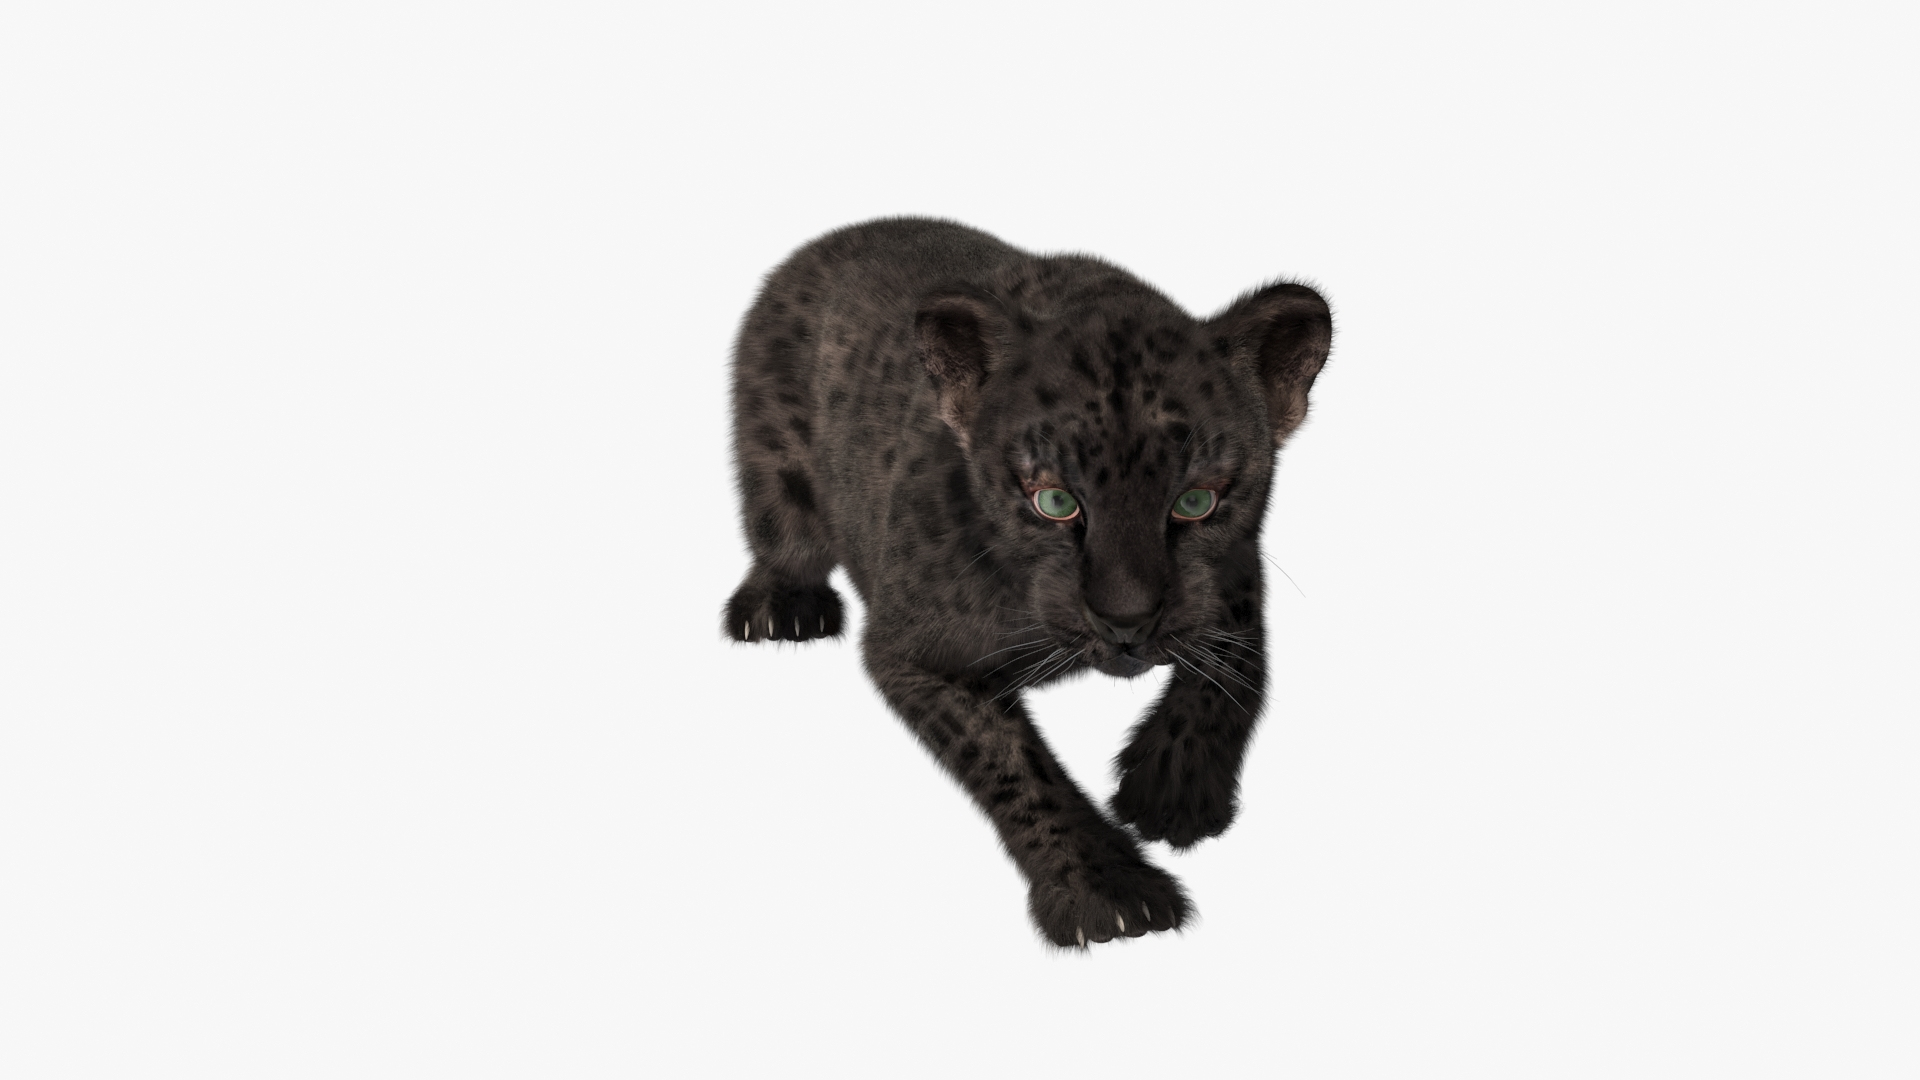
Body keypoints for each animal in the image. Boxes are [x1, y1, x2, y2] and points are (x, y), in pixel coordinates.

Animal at [724, 217, 1334, 948]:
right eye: (1054, 502)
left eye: (1195, 503)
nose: (1125, 622)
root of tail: (832, 241)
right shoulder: (917, 649)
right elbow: (1017, 766)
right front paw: (1110, 892)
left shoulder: (1236, 578)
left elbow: (1235, 668)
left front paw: (1173, 792)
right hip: (776, 464)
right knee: (780, 531)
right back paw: (783, 609)